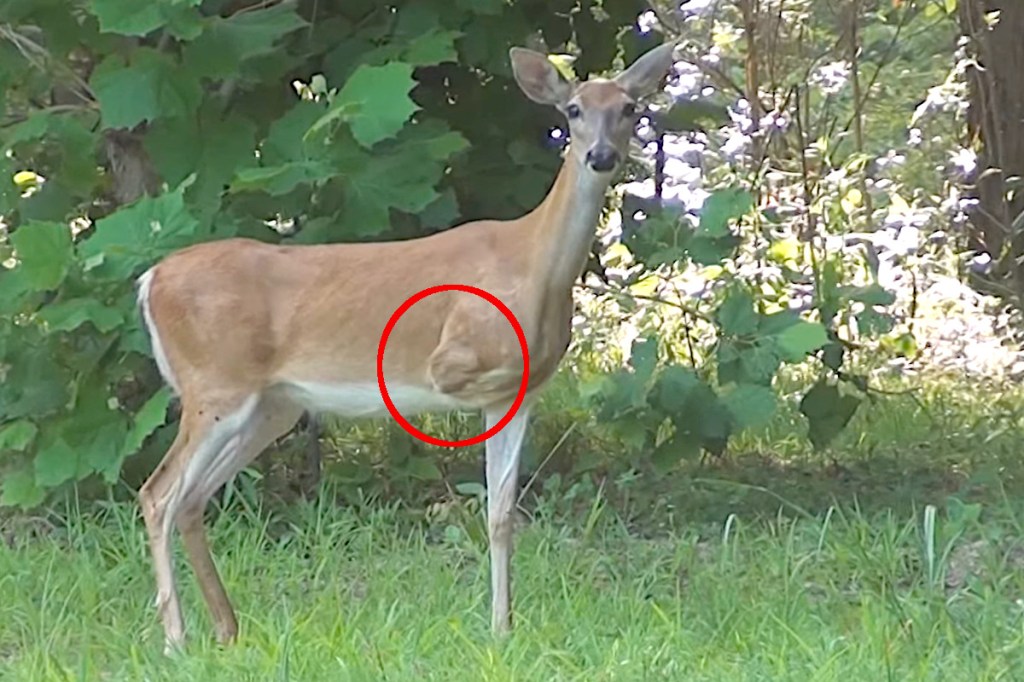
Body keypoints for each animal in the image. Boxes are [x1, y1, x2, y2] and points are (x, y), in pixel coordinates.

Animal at [135, 41, 678, 651]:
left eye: (629, 107)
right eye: (574, 110)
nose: (602, 157)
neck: (533, 265)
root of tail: (150, 280)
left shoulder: (523, 396)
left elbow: (501, 513)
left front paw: (502, 628)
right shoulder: (465, 364)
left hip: (271, 406)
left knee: (191, 498)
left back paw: (227, 629)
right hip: (216, 386)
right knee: (158, 494)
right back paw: (176, 638)